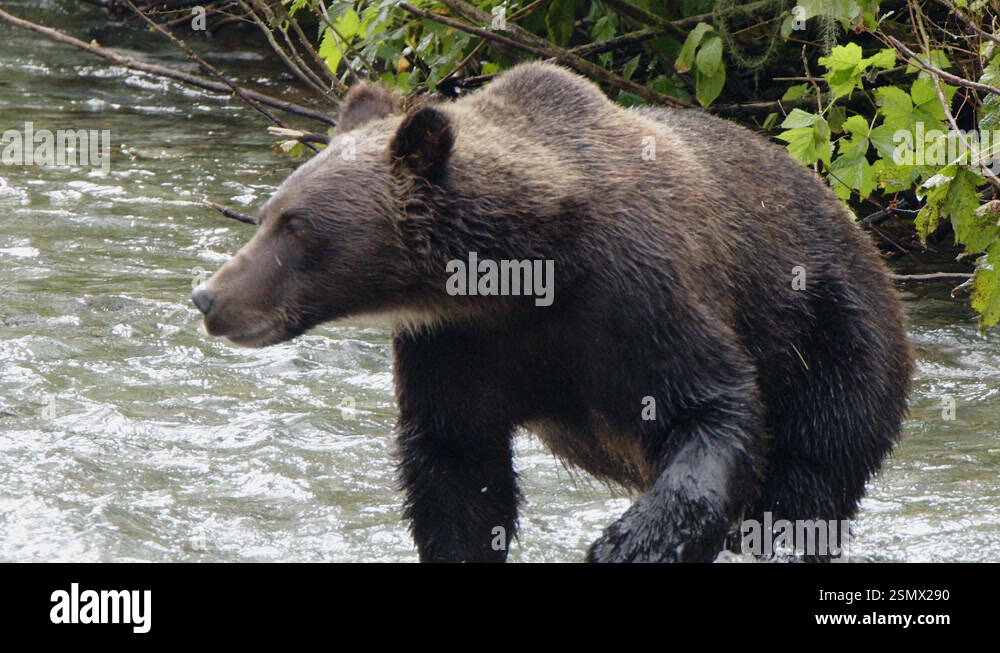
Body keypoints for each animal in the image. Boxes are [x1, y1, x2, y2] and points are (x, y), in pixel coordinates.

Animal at [191, 62, 913, 562]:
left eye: (297, 226)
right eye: (267, 213)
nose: (209, 297)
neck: (524, 273)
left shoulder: (638, 296)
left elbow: (713, 407)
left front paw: (632, 541)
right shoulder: (453, 343)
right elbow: (458, 464)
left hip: (835, 329)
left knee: (813, 470)